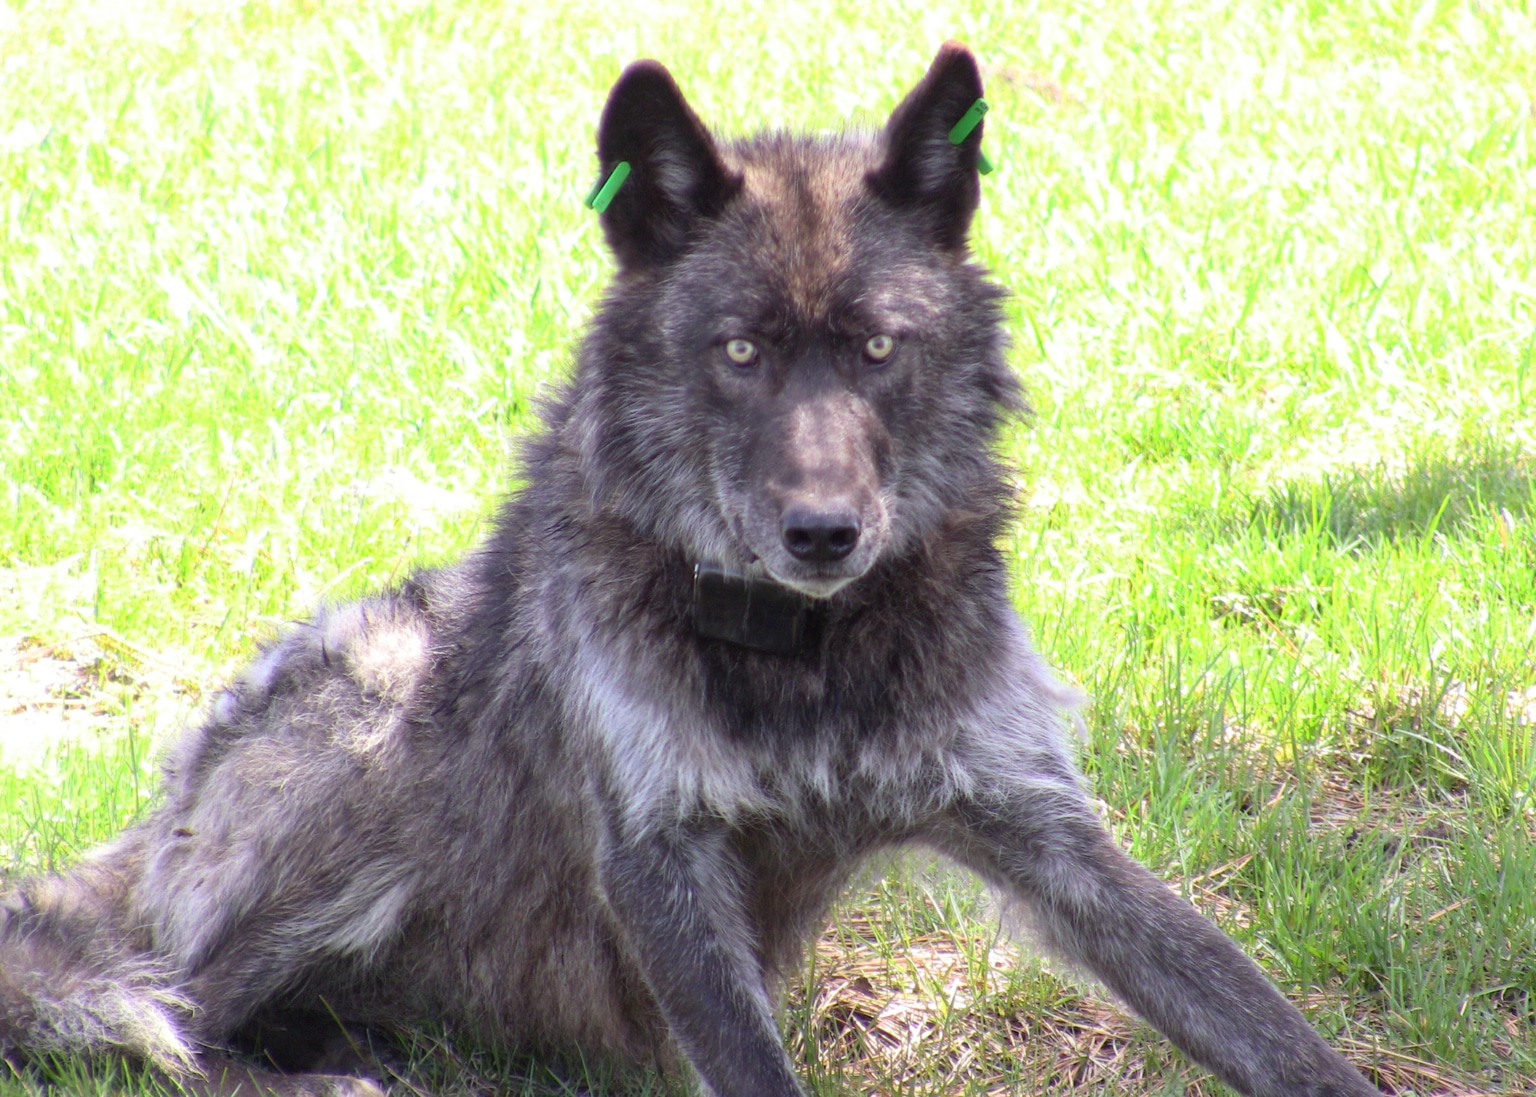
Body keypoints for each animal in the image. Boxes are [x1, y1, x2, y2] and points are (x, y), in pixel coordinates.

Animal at [0, 44, 1383, 1097]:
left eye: (877, 348)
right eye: (740, 351)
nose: (824, 535)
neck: (807, 656)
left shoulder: (1040, 826)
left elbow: (1251, 1008)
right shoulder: (660, 857)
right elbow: (751, 1064)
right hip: (376, 739)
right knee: (154, 1004)